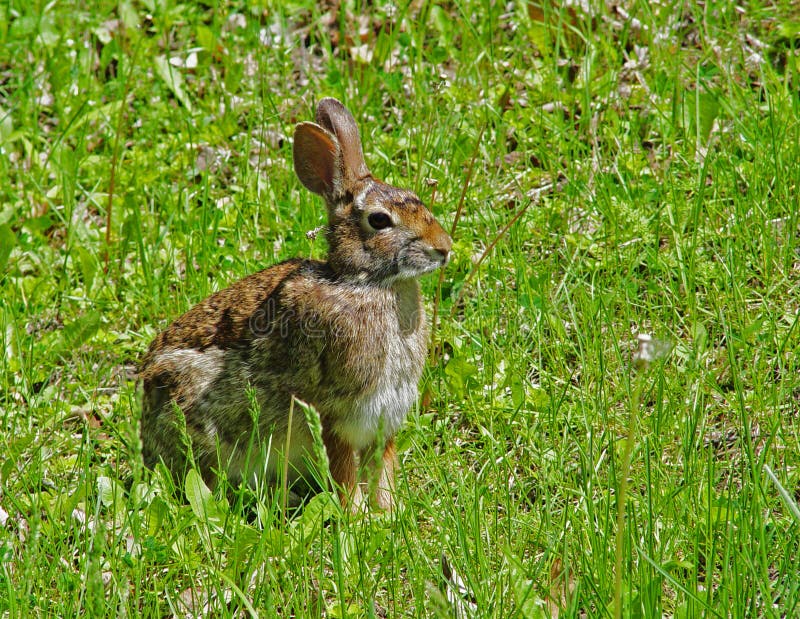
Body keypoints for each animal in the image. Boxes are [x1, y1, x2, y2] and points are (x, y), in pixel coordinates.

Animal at [139, 97, 452, 511]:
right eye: (379, 220)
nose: (444, 247)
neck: (366, 283)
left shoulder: (383, 422)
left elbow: (382, 469)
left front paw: (388, 512)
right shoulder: (335, 417)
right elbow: (344, 471)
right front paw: (357, 516)